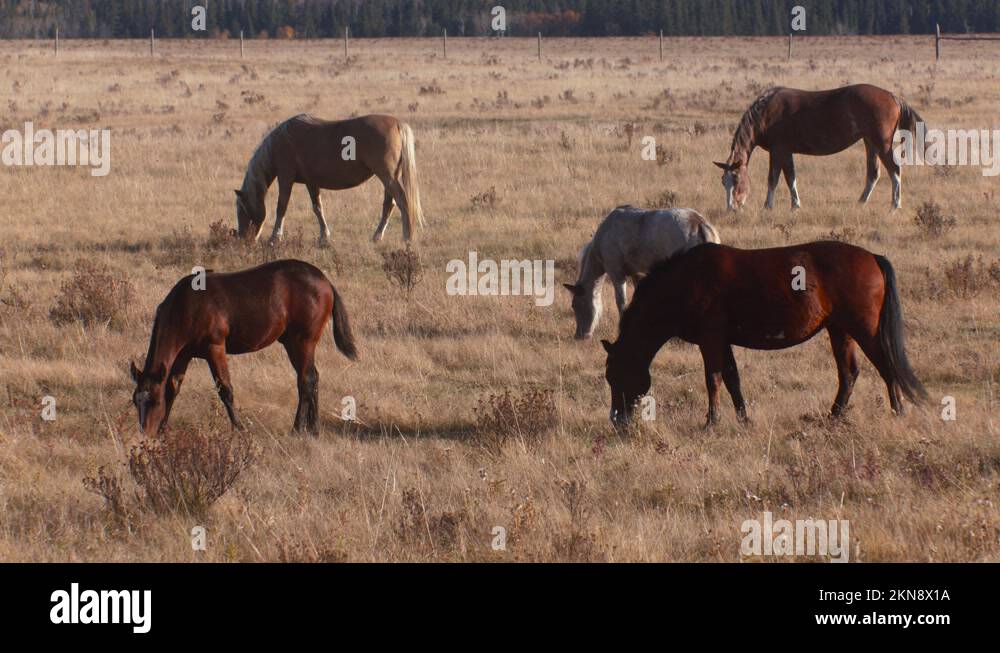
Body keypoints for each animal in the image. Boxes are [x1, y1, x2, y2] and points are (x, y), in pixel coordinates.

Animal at [129, 259, 358, 436]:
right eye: (135, 401)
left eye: (154, 401)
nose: (145, 433)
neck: (186, 307)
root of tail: (324, 280)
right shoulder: (183, 355)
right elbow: (173, 388)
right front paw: (163, 428)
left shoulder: (215, 348)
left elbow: (225, 390)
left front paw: (239, 429)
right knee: (313, 377)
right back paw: (314, 428)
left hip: (302, 342)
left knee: (306, 379)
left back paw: (298, 428)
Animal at [234, 113, 425, 245]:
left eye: (241, 209)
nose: (244, 238)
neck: (280, 141)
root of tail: (398, 124)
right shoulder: (311, 182)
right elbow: (317, 208)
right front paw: (324, 236)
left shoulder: (285, 178)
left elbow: (282, 207)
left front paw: (275, 237)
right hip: (388, 177)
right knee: (389, 205)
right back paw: (377, 237)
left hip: (387, 175)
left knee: (402, 201)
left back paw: (407, 237)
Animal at [563, 206, 720, 340]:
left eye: (575, 305)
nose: (579, 336)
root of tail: (698, 223)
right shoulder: (636, 273)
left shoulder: (616, 273)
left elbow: (621, 301)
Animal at [602, 241, 926, 427]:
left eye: (616, 375)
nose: (617, 421)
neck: (685, 282)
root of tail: (871, 256)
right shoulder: (722, 341)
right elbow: (732, 378)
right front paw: (743, 419)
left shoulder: (710, 340)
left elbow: (713, 379)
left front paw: (711, 422)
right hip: (840, 330)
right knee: (849, 374)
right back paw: (833, 416)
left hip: (863, 329)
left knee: (885, 367)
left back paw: (898, 411)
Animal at [714, 84, 923, 211]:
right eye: (723, 181)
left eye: (737, 179)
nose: (732, 208)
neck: (766, 115)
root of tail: (893, 97)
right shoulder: (780, 152)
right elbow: (783, 178)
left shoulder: (781, 150)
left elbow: (781, 178)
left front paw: (782, 206)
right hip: (870, 142)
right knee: (873, 173)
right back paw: (861, 202)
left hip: (881, 143)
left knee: (894, 170)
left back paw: (895, 205)